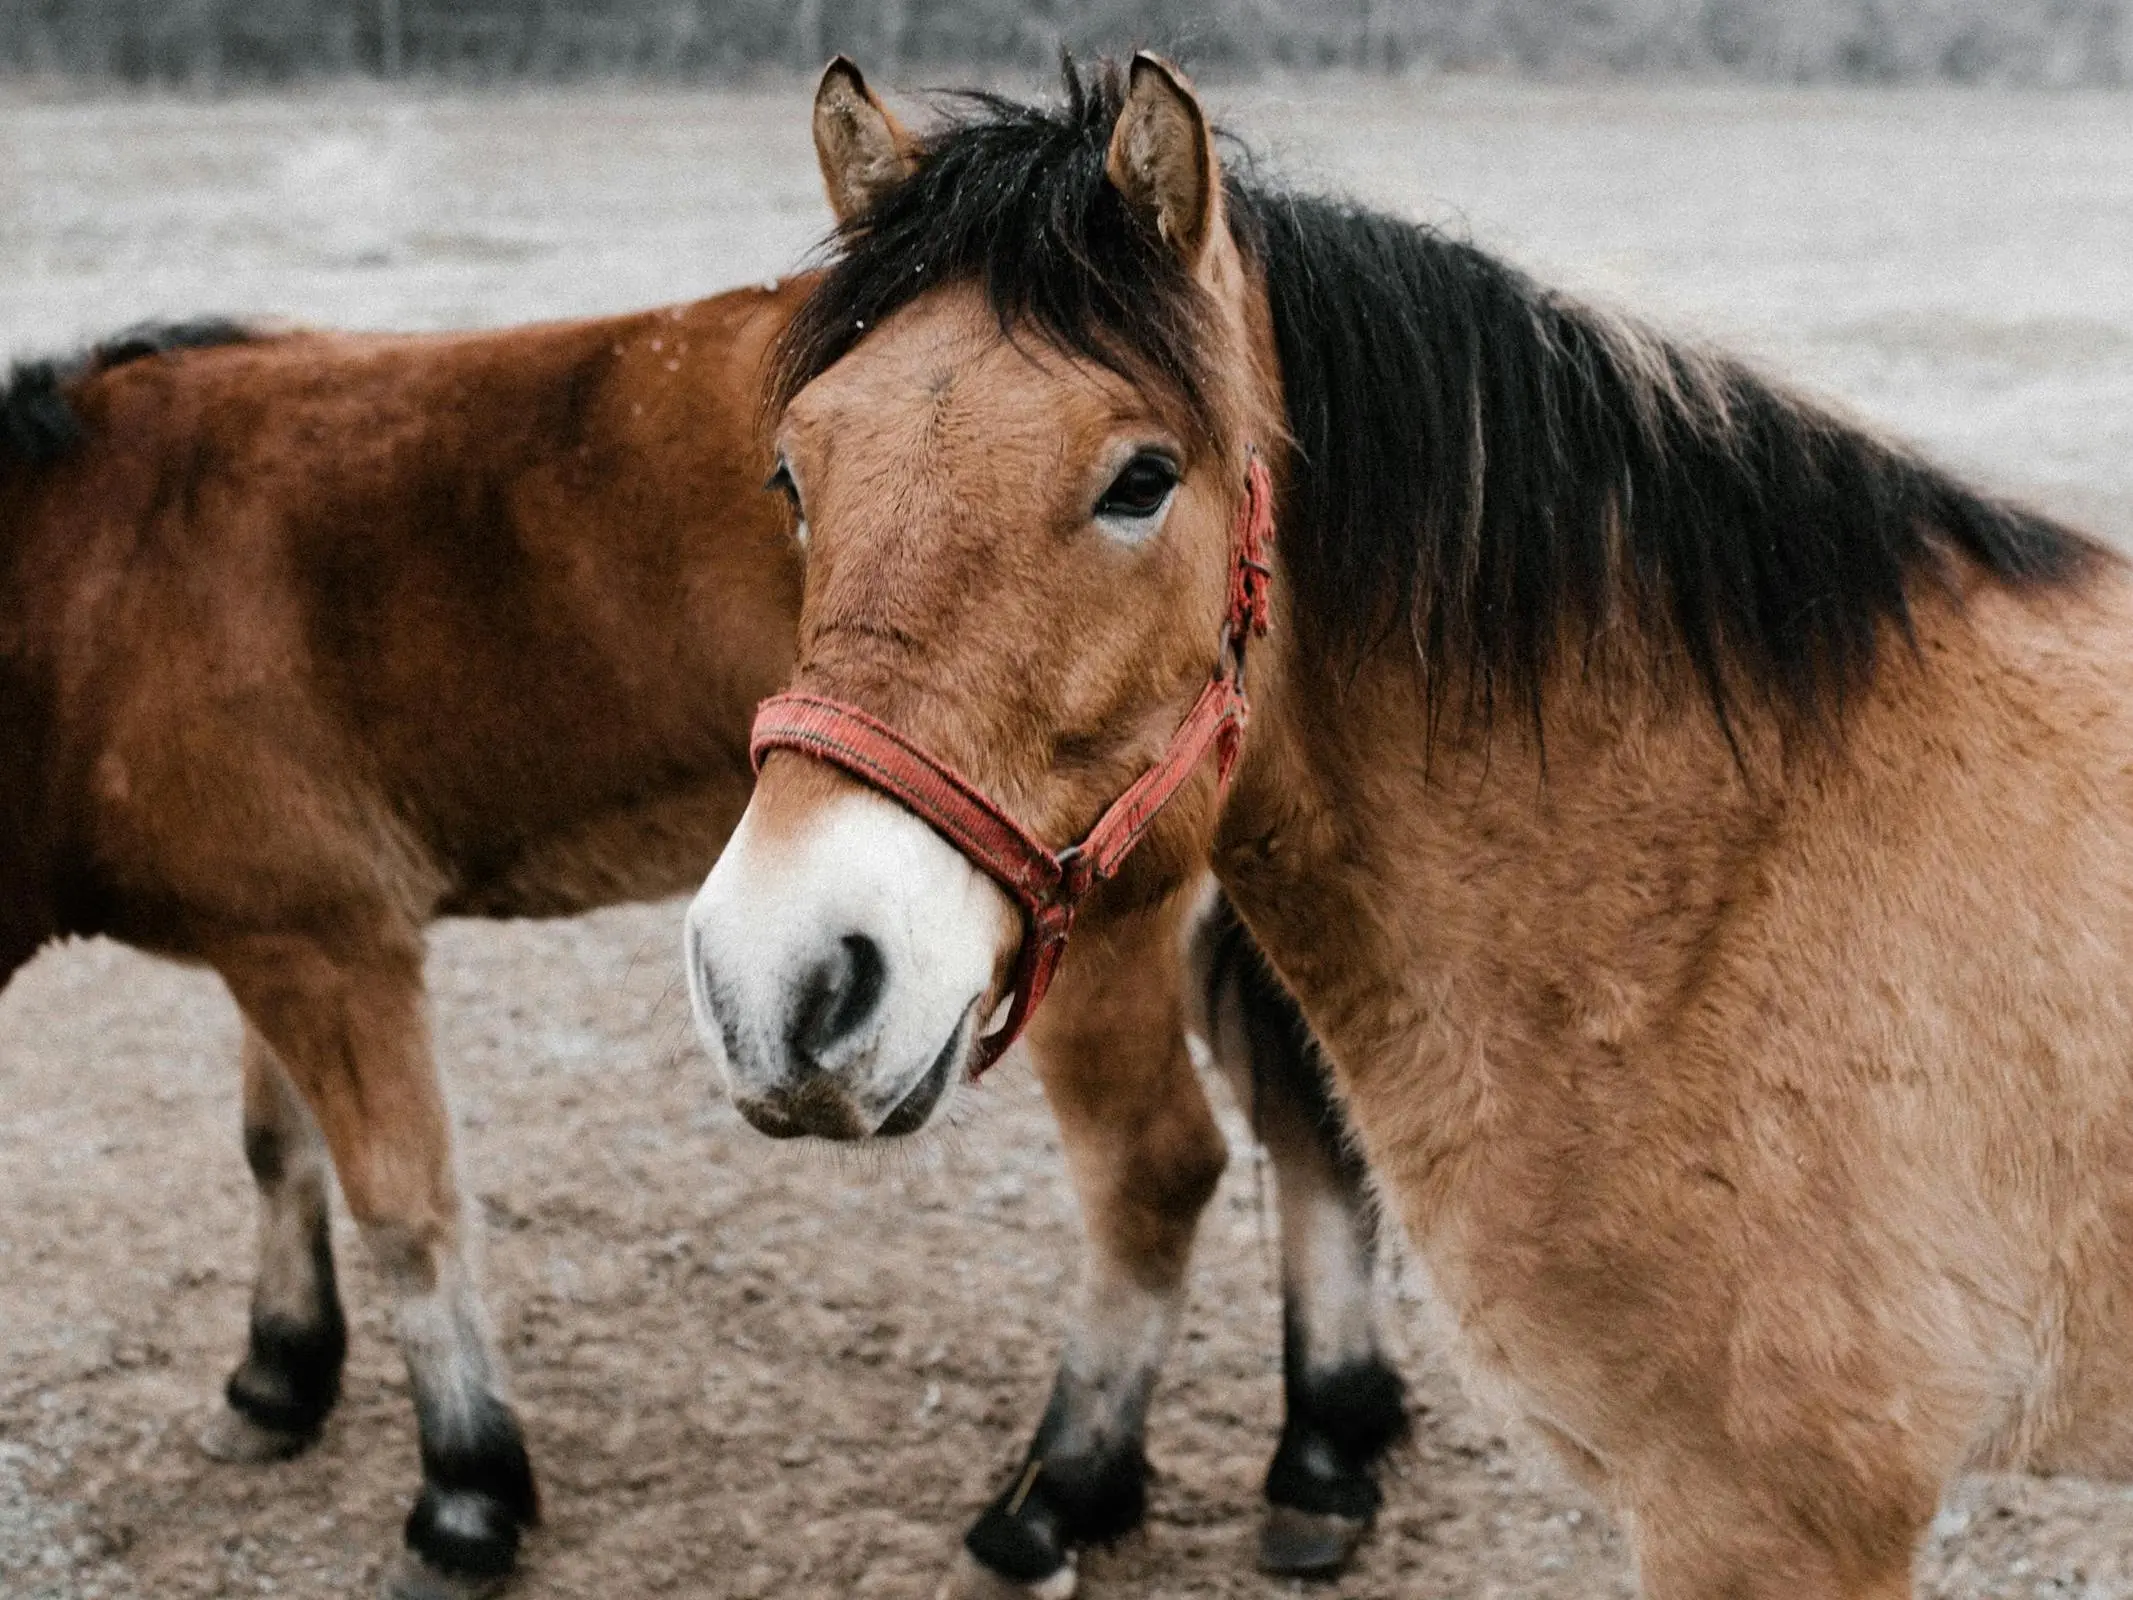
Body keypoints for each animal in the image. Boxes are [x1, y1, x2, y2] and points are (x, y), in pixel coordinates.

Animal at [0, 284, 1405, 1597]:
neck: (98, 590)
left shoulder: (332, 951)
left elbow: (406, 1208)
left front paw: (464, 1496)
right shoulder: (276, 936)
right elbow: (274, 1147)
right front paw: (279, 1375)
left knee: (1154, 1174)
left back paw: (1058, 1495)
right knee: (1312, 1124)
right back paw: (1325, 1453)